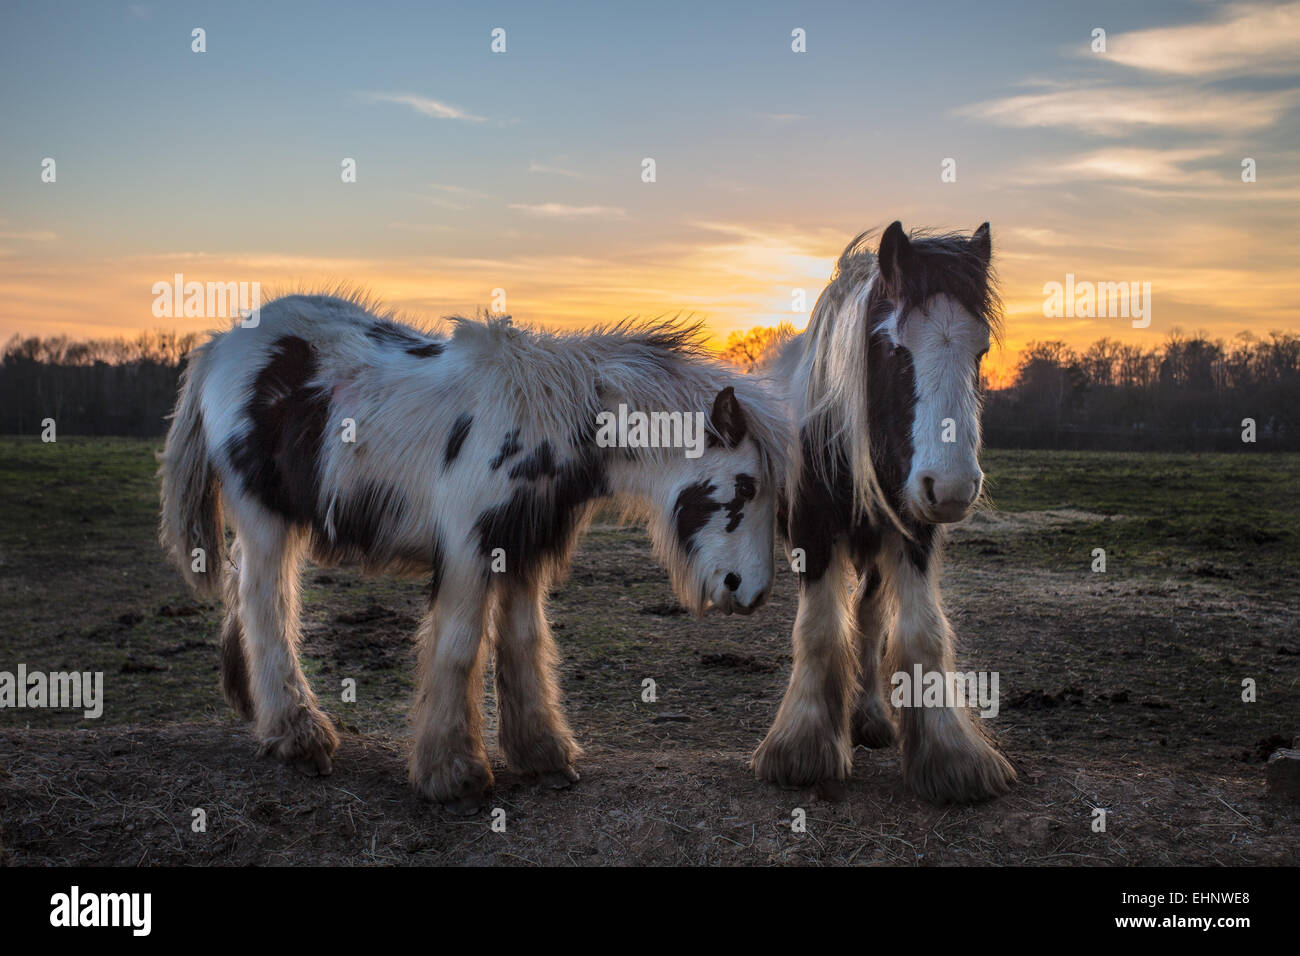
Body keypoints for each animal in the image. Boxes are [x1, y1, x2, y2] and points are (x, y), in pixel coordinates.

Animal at [158, 291, 786, 812]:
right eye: (746, 487)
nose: (751, 594)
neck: (546, 417)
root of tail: (219, 345)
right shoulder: (468, 546)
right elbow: (459, 646)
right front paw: (452, 774)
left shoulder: (522, 549)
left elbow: (525, 644)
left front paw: (542, 755)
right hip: (265, 517)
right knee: (267, 607)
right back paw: (297, 735)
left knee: (242, 587)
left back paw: (252, 705)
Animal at [752, 222, 1016, 804]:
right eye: (896, 350)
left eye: (981, 349)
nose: (953, 486)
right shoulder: (811, 529)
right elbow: (819, 630)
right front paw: (802, 748)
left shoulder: (912, 527)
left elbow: (921, 631)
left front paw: (950, 755)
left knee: (871, 614)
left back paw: (871, 716)